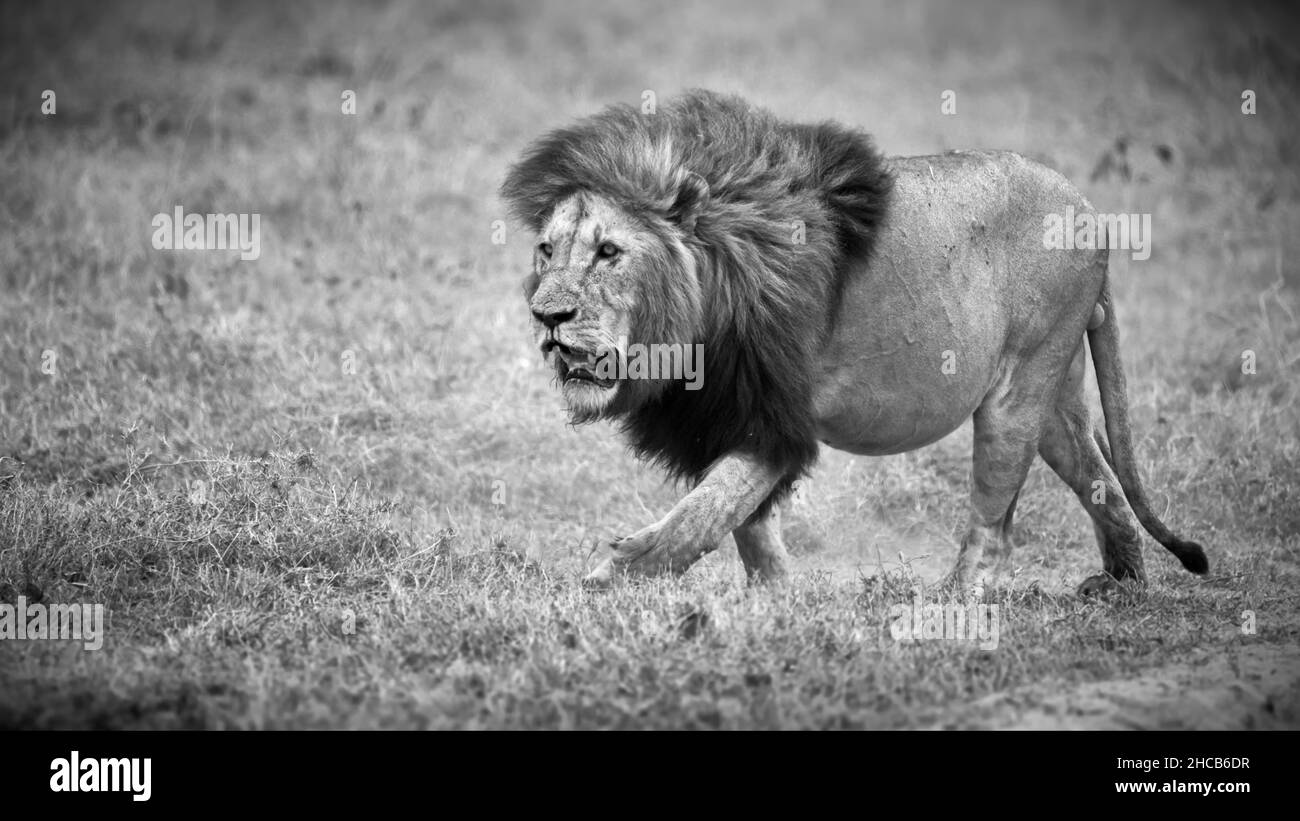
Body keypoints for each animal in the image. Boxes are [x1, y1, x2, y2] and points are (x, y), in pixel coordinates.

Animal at [501, 90, 1207, 595]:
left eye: (609, 252)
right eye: (547, 249)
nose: (547, 316)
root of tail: (1093, 216)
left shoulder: (773, 420)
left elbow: (703, 513)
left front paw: (612, 575)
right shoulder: (728, 413)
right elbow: (744, 523)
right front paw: (777, 595)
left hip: (1019, 390)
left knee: (995, 520)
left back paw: (953, 600)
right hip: (1055, 393)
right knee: (1100, 478)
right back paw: (1123, 583)